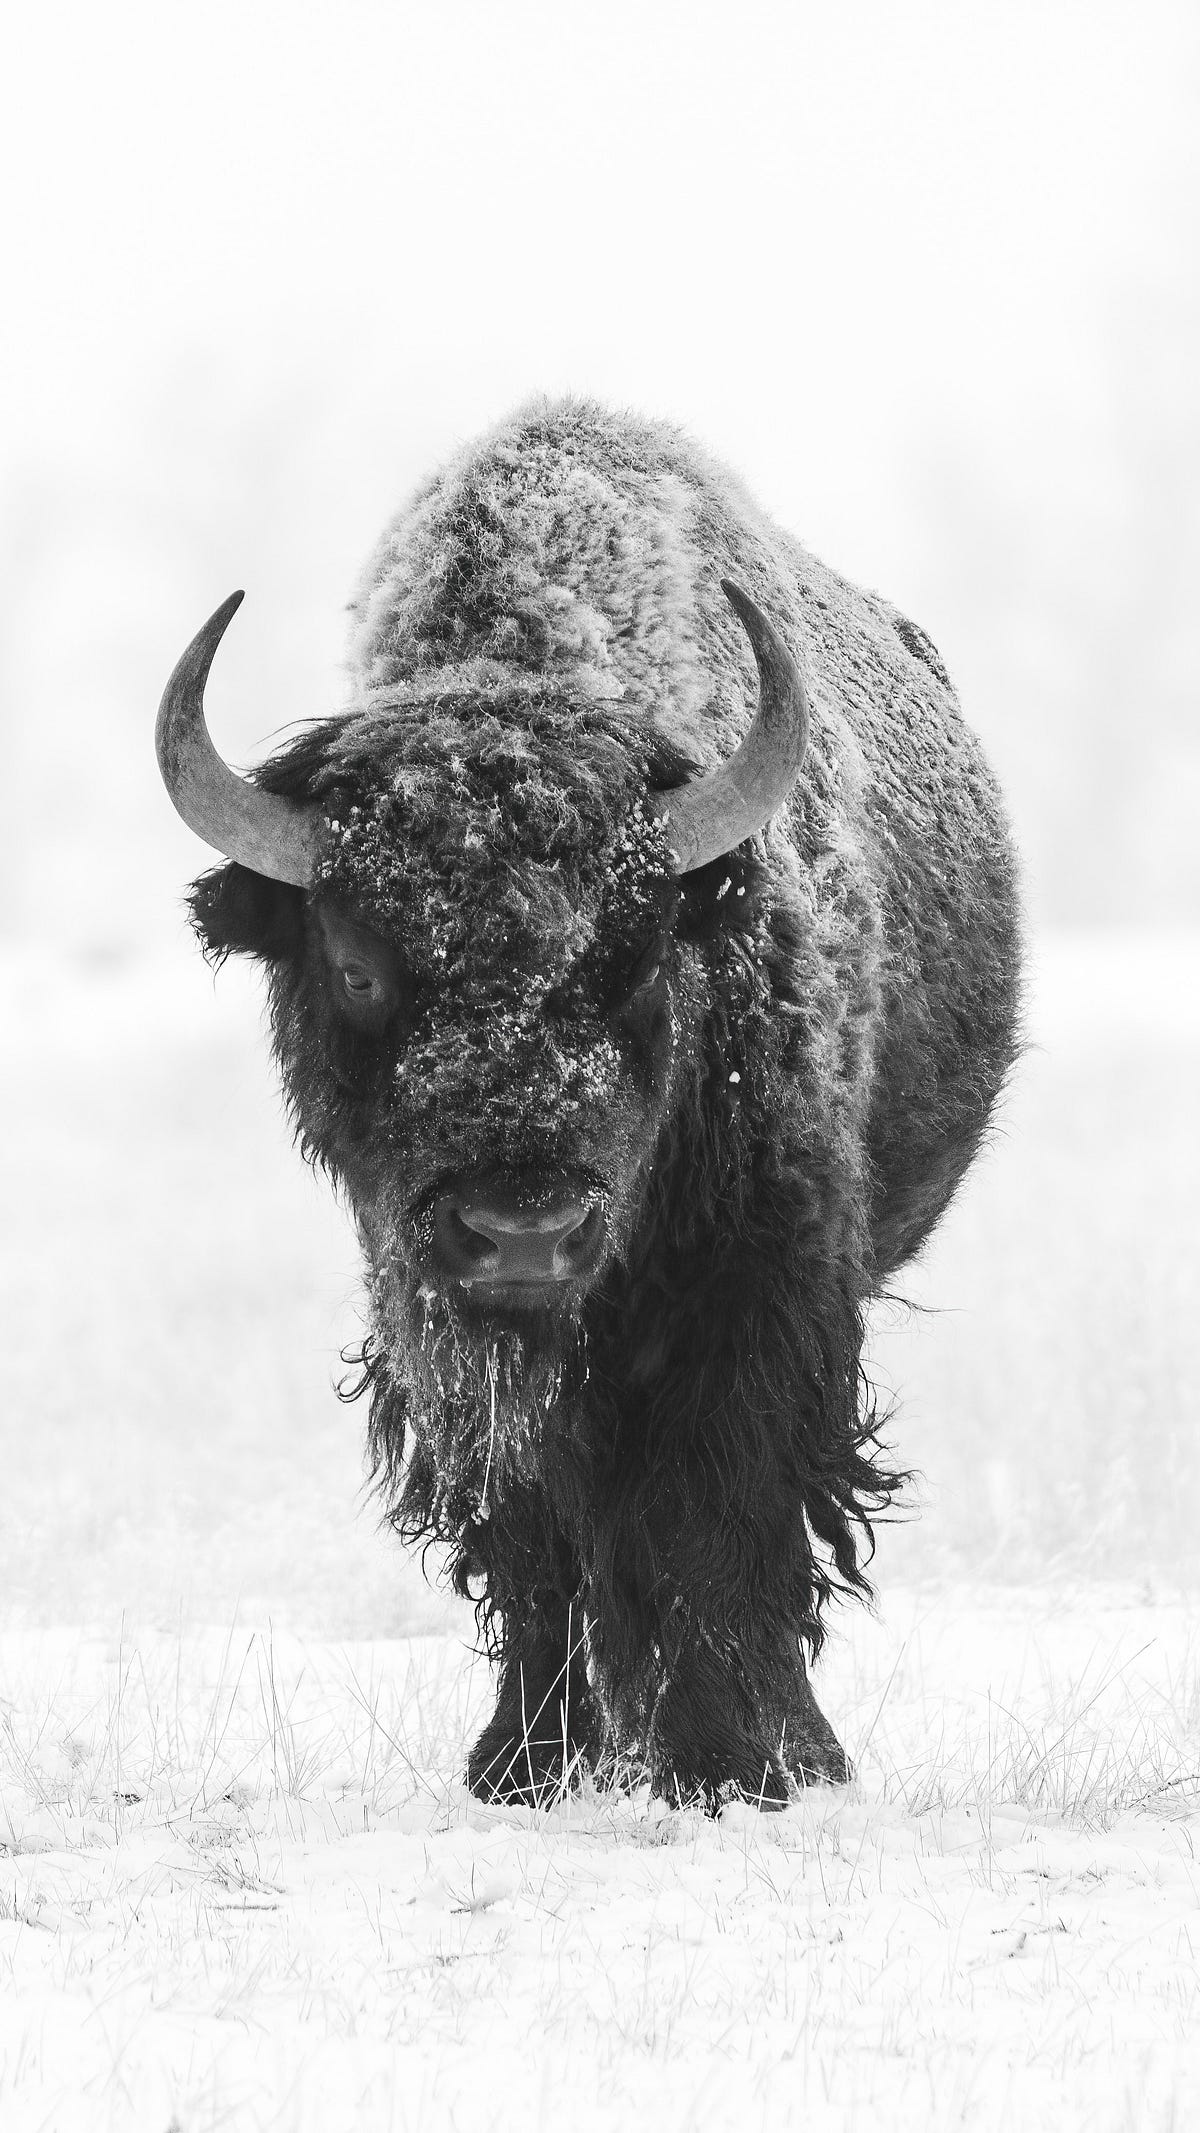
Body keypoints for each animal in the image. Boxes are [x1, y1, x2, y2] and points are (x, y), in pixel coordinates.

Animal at [156, 399, 1021, 1808]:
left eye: (639, 955)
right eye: (357, 965)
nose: (524, 1232)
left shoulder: (764, 1288)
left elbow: (725, 1511)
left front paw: (744, 1766)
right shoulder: (434, 1314)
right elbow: (533, 1525)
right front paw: (525, 1763)